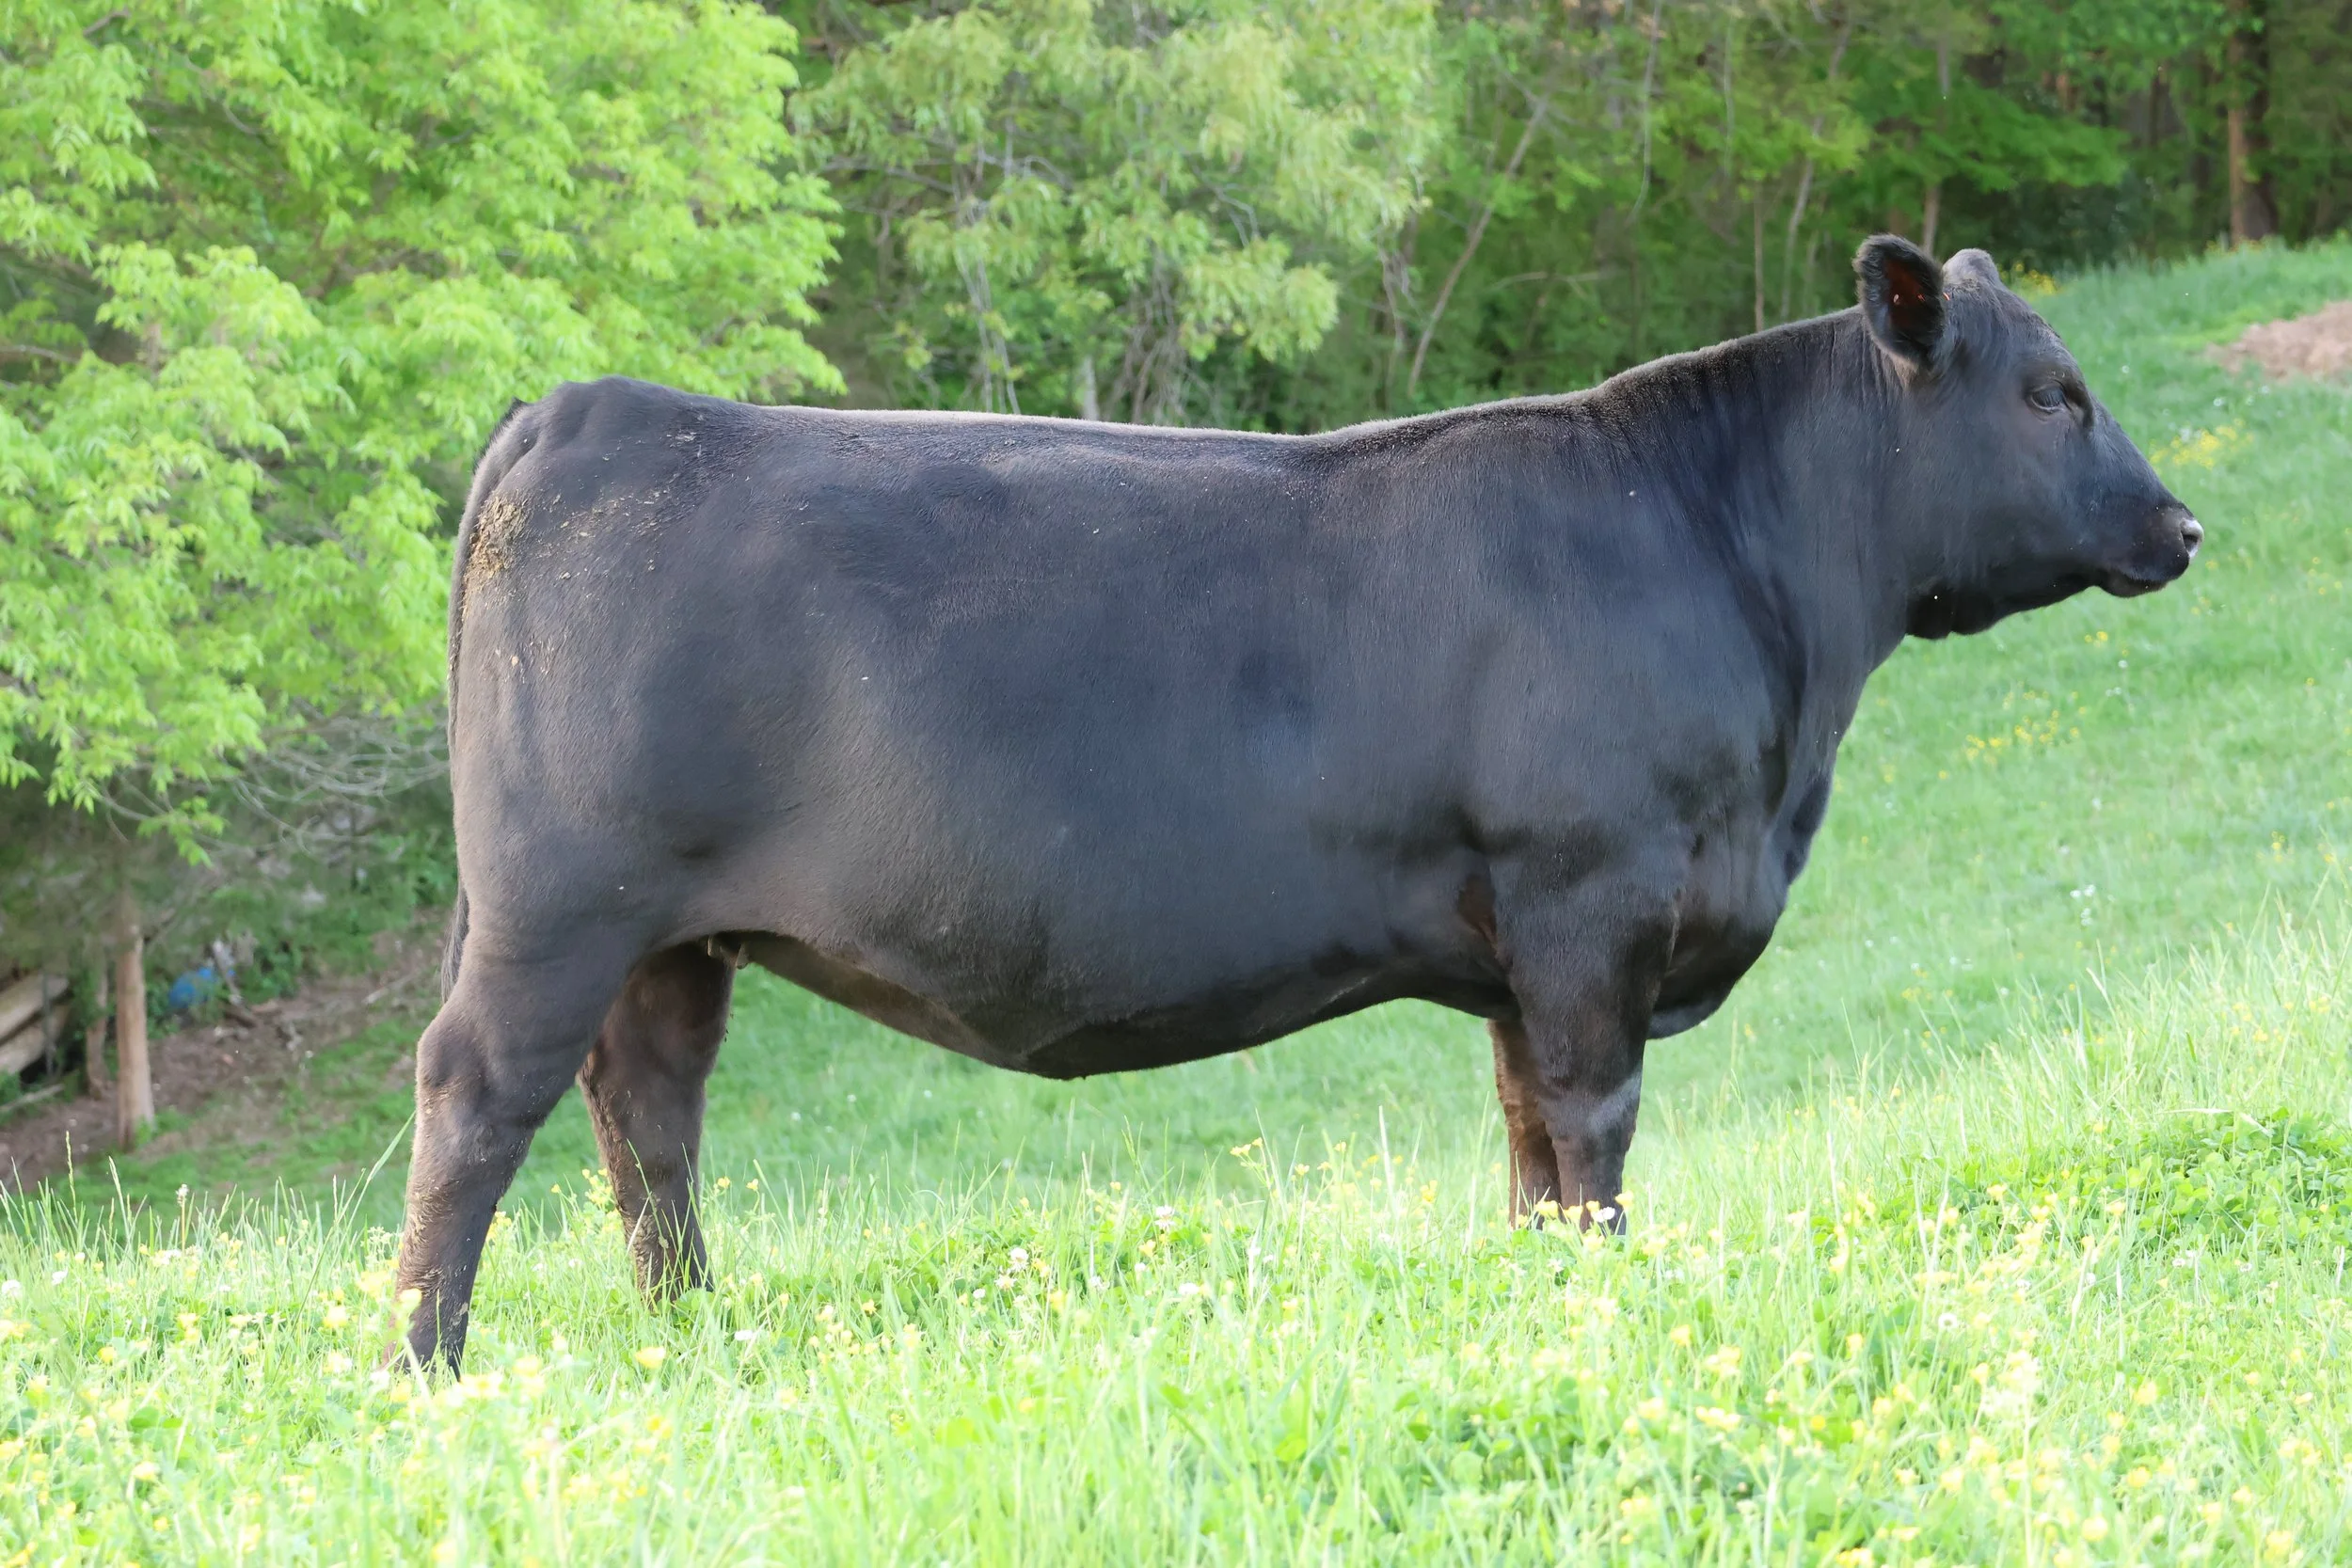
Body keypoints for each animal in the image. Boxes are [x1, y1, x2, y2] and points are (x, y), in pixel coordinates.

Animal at [393, 237, 2198, 1369]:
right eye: (2051, 392)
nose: (2182, 526)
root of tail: (597, 407)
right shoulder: (1589, 899)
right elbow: (1594, 1130)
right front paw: (1604, 1307)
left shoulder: (1519, 951)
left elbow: (1527, 1138)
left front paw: (1543, 1302)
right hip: (562, 908)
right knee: (480, 1102)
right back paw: (424, 1359)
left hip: (667, 940)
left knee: (650, 1121)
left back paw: (694, 1333)